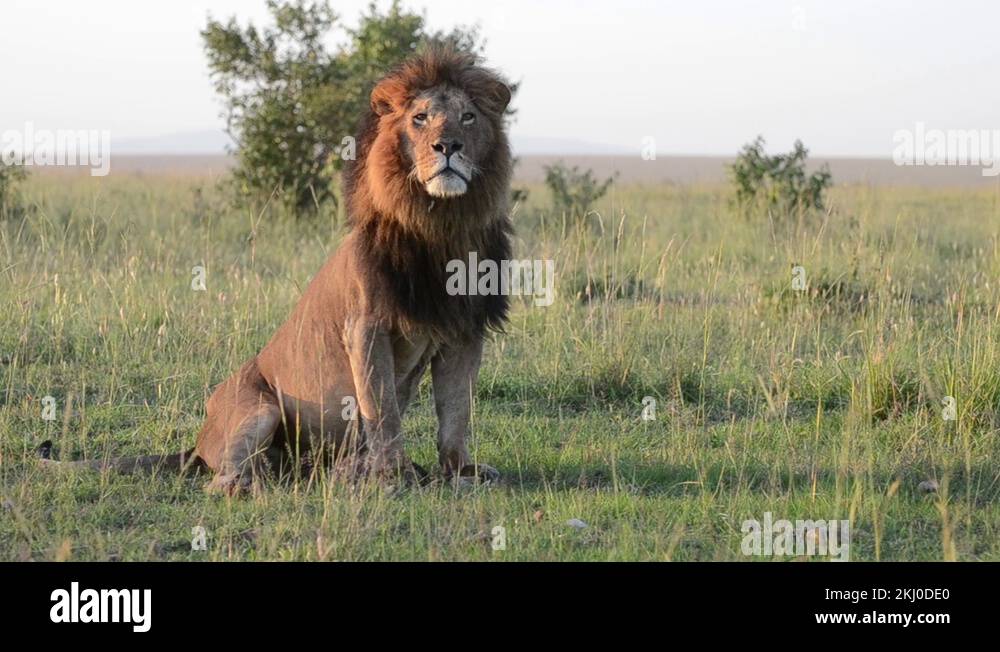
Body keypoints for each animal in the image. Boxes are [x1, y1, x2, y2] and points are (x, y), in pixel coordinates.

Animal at [40, 47, 514, 494]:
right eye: (420, 118)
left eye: (468, 117)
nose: (447, 146)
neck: (440, 226)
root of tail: (198, 442)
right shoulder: (366, 325)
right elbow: (383, 412)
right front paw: (391, 475)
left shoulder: (464, 330)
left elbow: (456, 411)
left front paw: (460, 470)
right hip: (260, 407)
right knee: (222, 480)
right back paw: (259, 485)